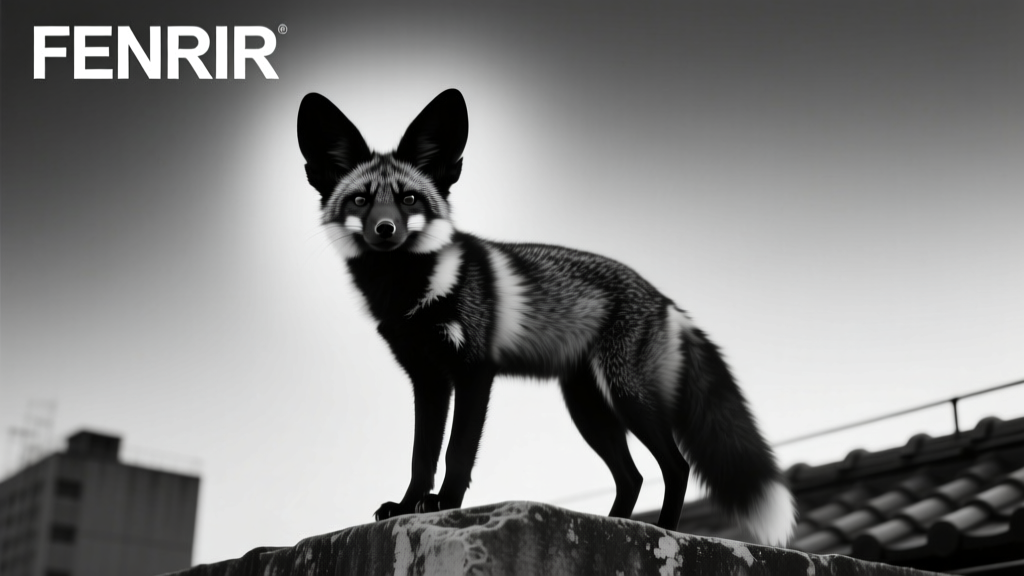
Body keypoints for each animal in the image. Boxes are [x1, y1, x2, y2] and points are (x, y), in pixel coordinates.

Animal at [296, 88, 796, 546]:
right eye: (360, 201)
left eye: (410, 199)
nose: (385, 230)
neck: (410, 296)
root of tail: (666, 299)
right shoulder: (428, 379)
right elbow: (422, 456)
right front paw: (407, 506)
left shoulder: (474, 371)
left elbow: (457, 454)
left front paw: (445, 505)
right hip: (588, 409)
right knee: (632, 476)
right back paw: (614, 527)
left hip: (627, 396)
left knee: (676, 466)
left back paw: (664, 534)